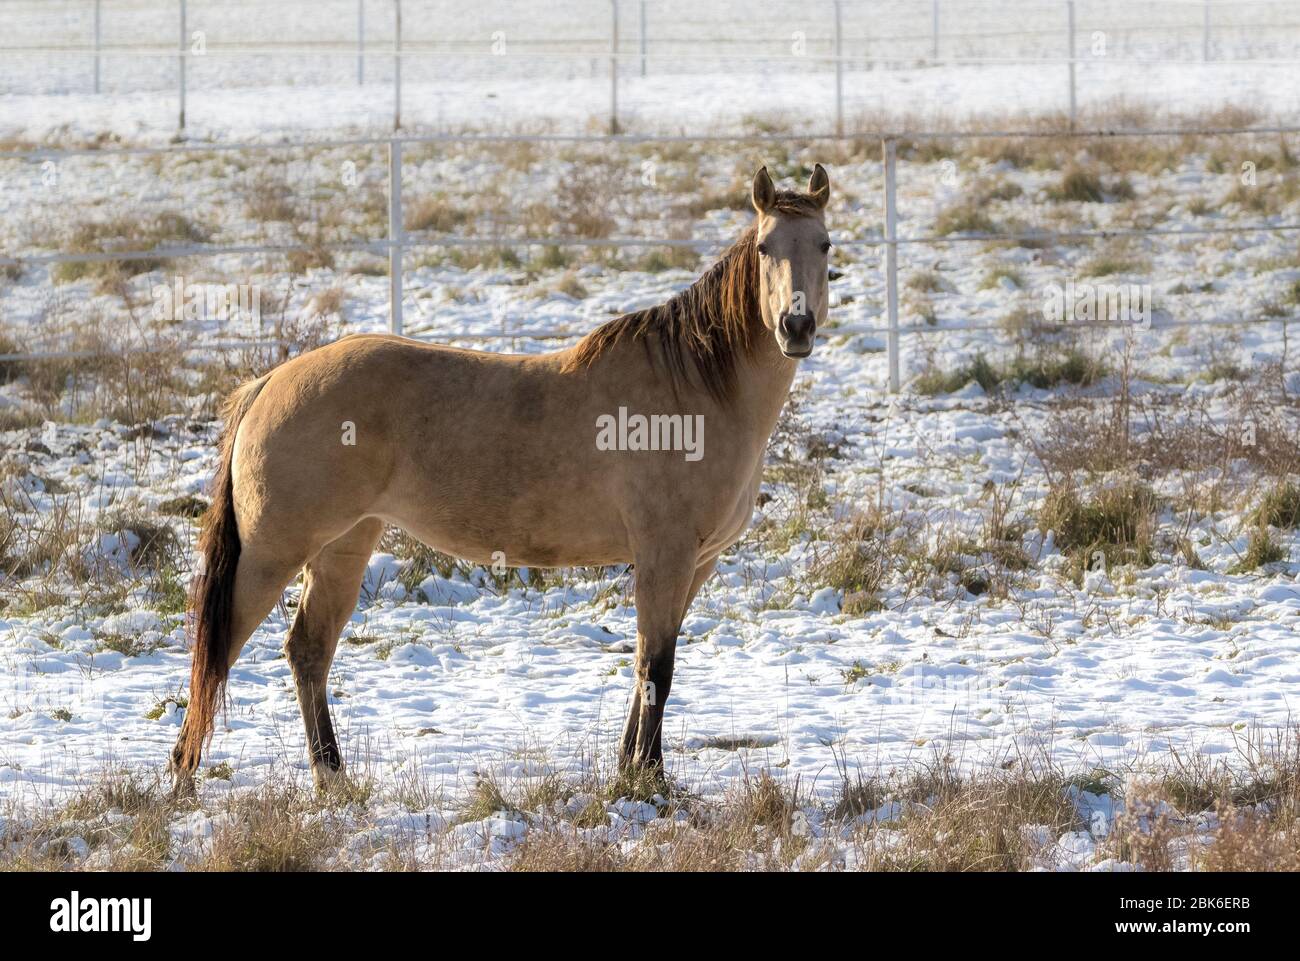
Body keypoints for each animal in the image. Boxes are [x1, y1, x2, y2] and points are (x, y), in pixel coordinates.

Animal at [172, 163, 833, 793]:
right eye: (766, 248)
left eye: (825, 244)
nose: (795, 327)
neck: (694, 388)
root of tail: (269, 383)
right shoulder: (664, 556)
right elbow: (656, 669)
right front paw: (651, 783)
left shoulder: (696, 563)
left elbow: (649, 666)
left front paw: (633, 771)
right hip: (272, 553)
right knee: (218, 651)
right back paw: (183, 779)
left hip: (343, 546)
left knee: (308, 651)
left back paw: (332, 779)